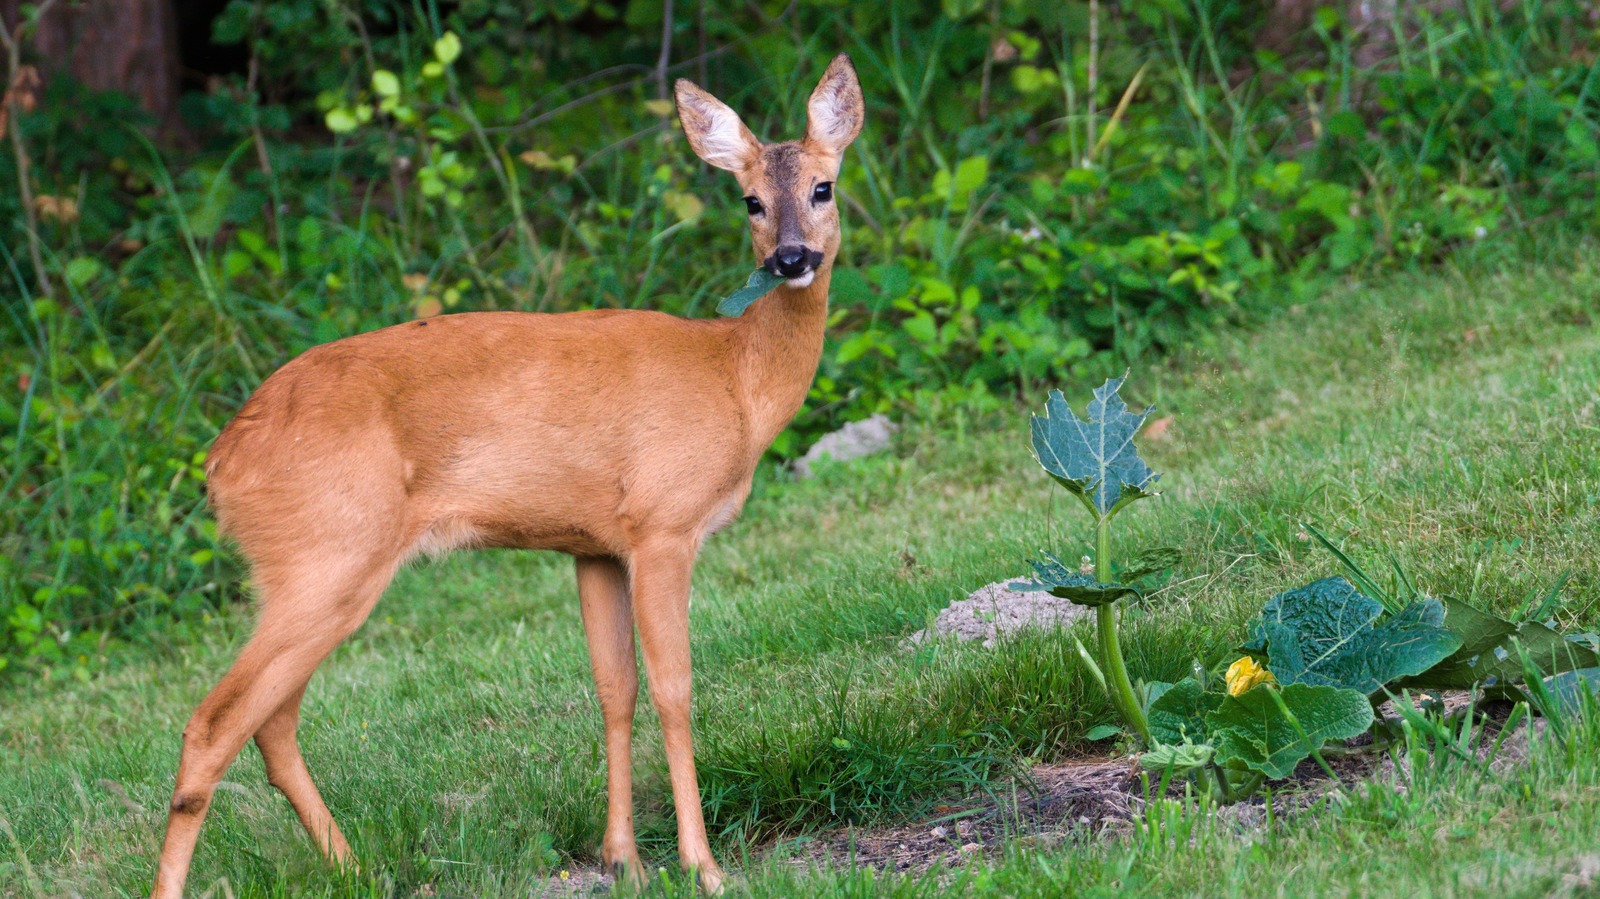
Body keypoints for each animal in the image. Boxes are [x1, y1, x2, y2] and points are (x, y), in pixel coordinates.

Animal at [148, 53, 864, 898]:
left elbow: (614, 688)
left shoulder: (595, 543)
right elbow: (674, 687)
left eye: (823, 186)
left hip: (310, 569)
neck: (737, 381)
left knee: (273, 724)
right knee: (214, 722)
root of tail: (221, 461)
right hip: (326, 554)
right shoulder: (663, 522)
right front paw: (702, 863)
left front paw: (622, 855)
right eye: (751, 199)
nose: (790, 259)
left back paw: (358, 868)